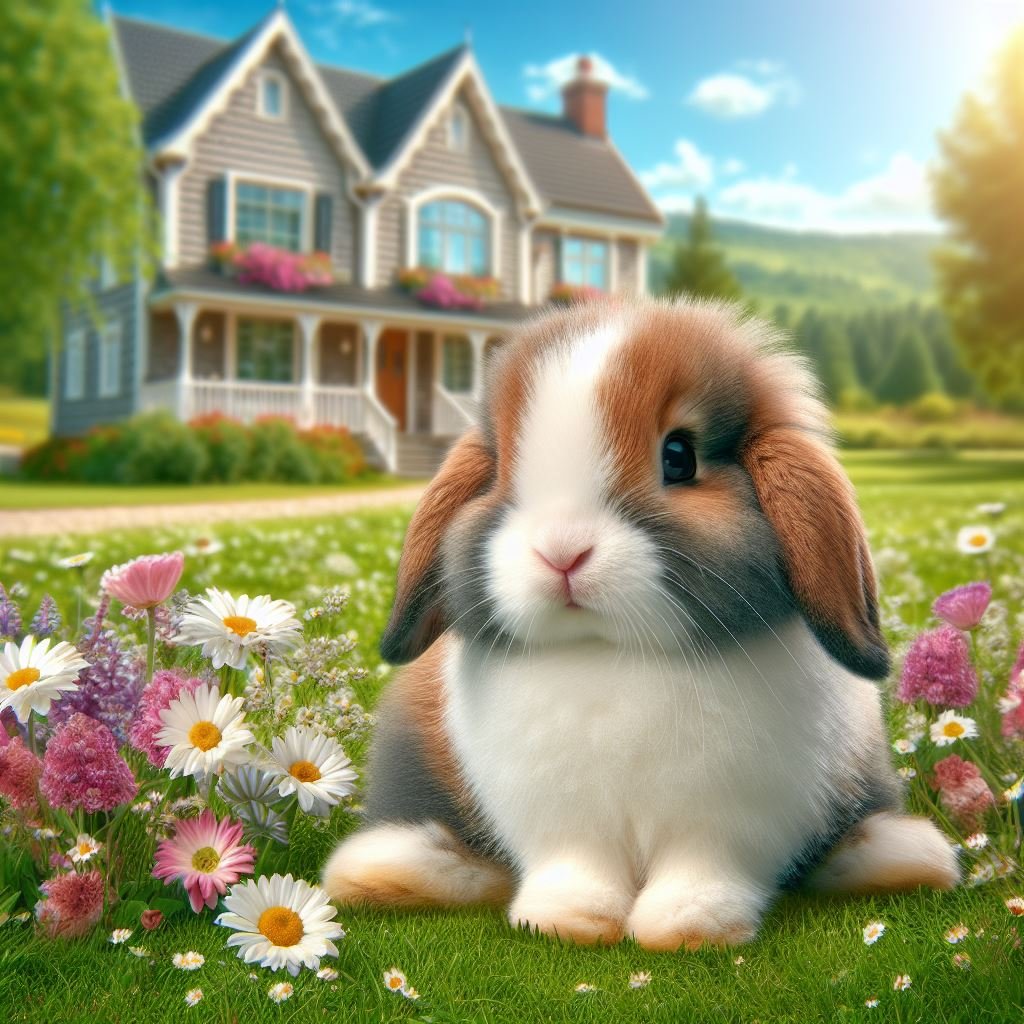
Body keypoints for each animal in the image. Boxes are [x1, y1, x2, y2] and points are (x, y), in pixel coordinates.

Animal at [323, 298, 958, 950]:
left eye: (679, 456)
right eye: (500, 471)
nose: (562, 551)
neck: (612, 654)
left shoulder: (726, 821)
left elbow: (703, 871)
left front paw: (691, 927)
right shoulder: (561, 817)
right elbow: (575, 867)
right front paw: (566, 922)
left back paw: (894, 858)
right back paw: (391, 871)